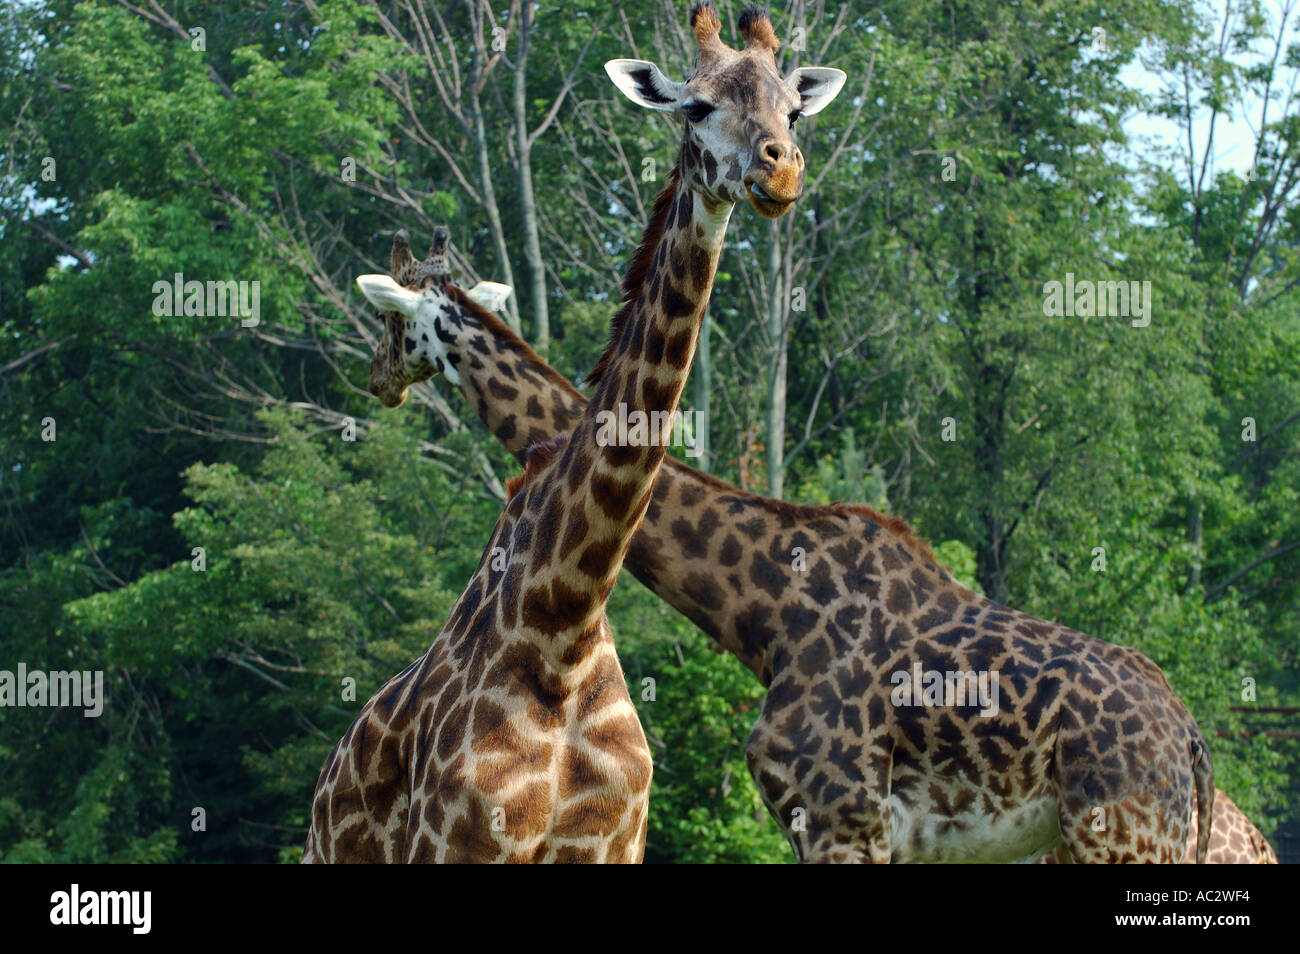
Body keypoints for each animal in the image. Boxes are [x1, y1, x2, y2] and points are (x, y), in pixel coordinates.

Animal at [303, 2, 845, 863]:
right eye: (695, 106)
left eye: (792, 111)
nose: (781, 170)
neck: (562, 626)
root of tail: (327, 779)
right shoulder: (457, 844)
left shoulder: (616, 843)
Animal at [361, 10, 1214, 868]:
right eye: (697, 105)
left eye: (793, 112)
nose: (377, 377)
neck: (765, 609)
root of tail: (1195, 747)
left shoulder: (839, 816)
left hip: (1120, 836)